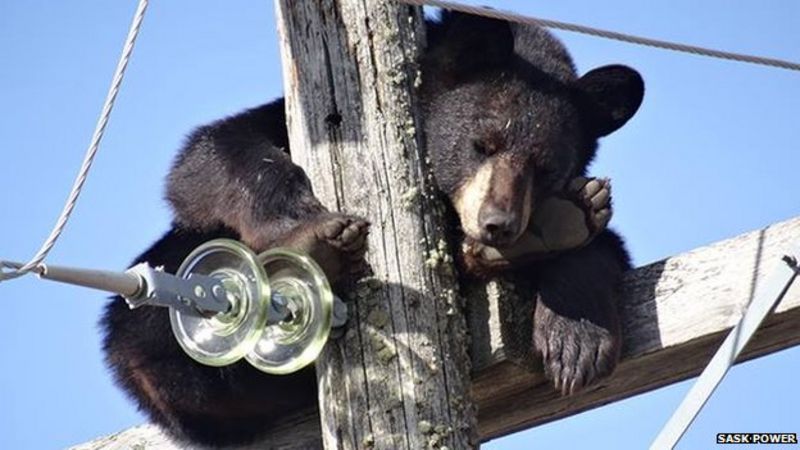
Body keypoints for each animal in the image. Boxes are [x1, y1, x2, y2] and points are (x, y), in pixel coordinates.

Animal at [101, 10, 643, 447]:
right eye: (481, 144)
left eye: (545, 168)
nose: (499, 225)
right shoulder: (293, 121)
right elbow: (207, 158)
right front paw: (307, 230)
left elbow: (605, 245)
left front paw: (576, 333)